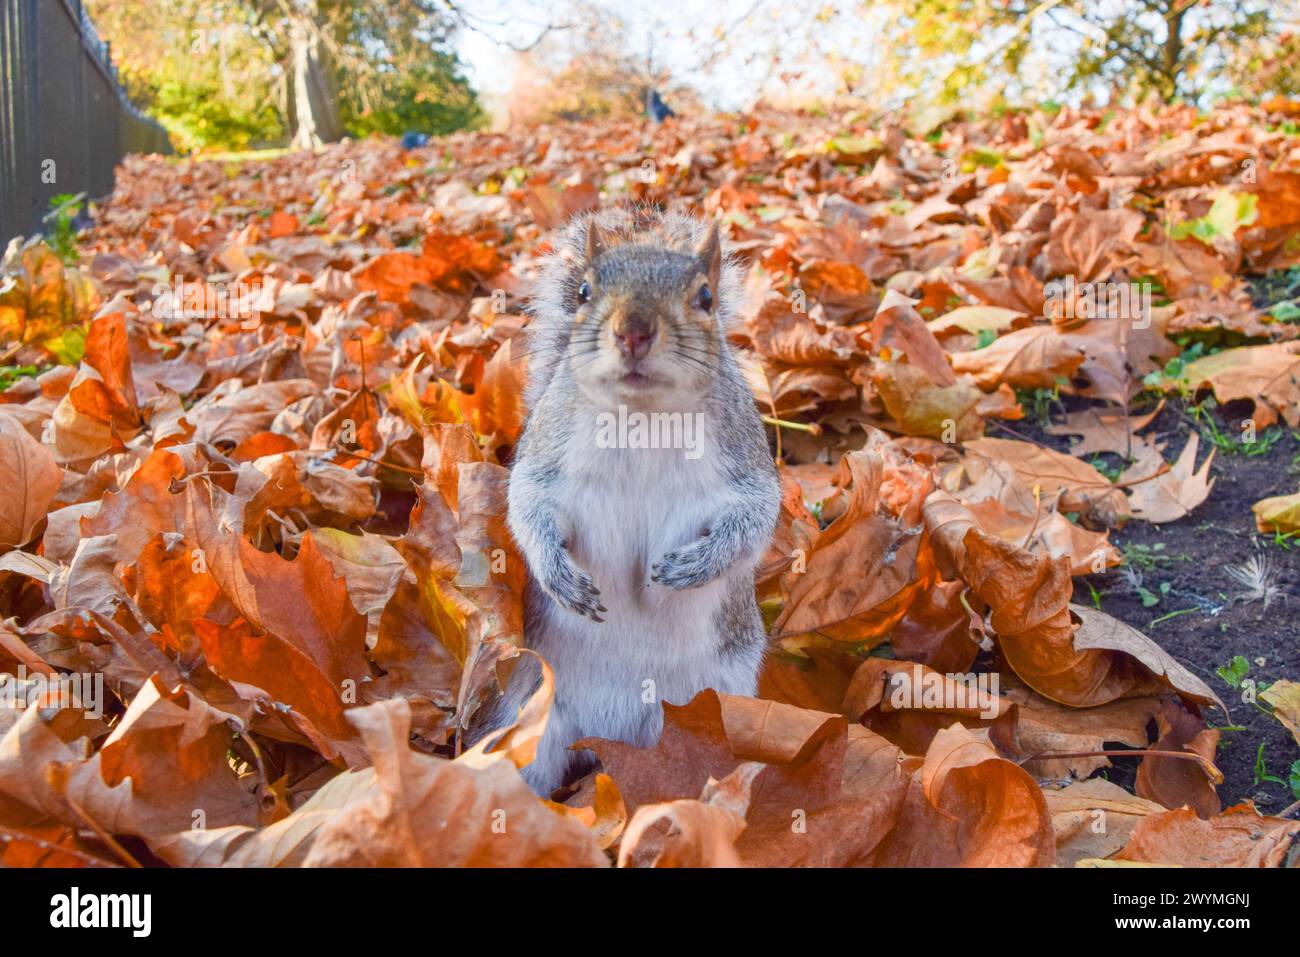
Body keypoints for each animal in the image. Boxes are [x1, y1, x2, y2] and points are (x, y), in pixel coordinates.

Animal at [471, 208, 781, 797]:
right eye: (585, 291)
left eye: (706, 297)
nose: (632, 331)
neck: (640, 418)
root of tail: (605, 734)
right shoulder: (546, 453)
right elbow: (526, 505)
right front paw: (560, 577)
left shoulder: (745, 459)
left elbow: (755, 518)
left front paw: (693, 566)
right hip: (529, 715)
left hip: (698, 707)